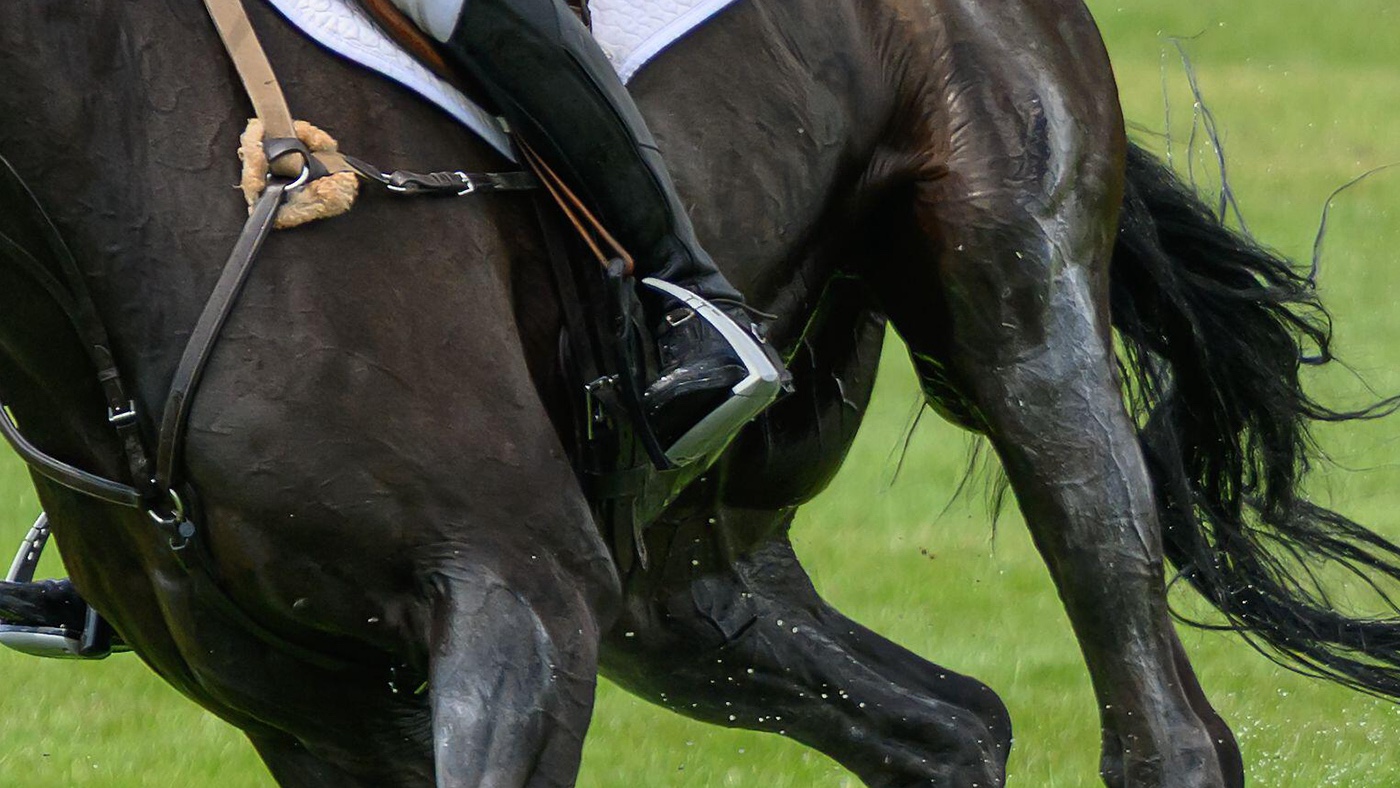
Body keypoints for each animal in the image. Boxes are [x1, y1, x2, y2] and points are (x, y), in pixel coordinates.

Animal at [3, 0, 1400, 786]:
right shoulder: (312, 702)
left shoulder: (517, 591)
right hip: (676, 584)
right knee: (949, 723)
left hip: (1018, 314)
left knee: (1159, 722)